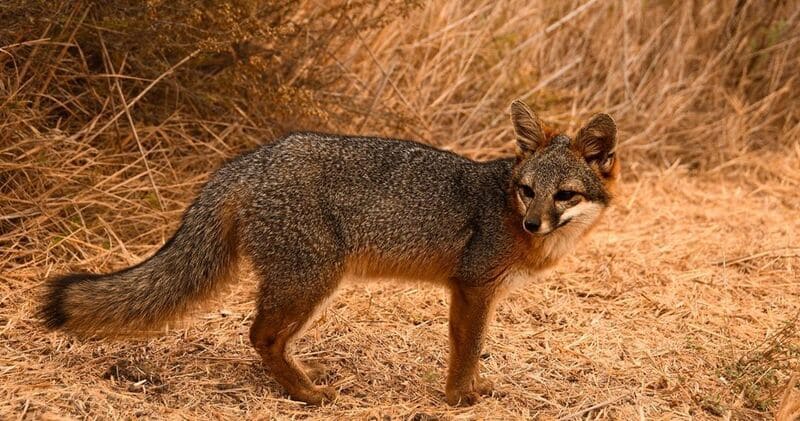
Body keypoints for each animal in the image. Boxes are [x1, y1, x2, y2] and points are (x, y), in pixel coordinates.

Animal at [40, 100, 619, 406]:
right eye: (527, 190)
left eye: (563, 195)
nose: (532, 222)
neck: (503, 205)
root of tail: (252, 160)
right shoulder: (473, 286)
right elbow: (467, 347)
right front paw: (459, 398)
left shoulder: (479, 291)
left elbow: (472, 349)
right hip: (313, 280)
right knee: (260, 335)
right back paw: (309, 395)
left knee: (267, 337)